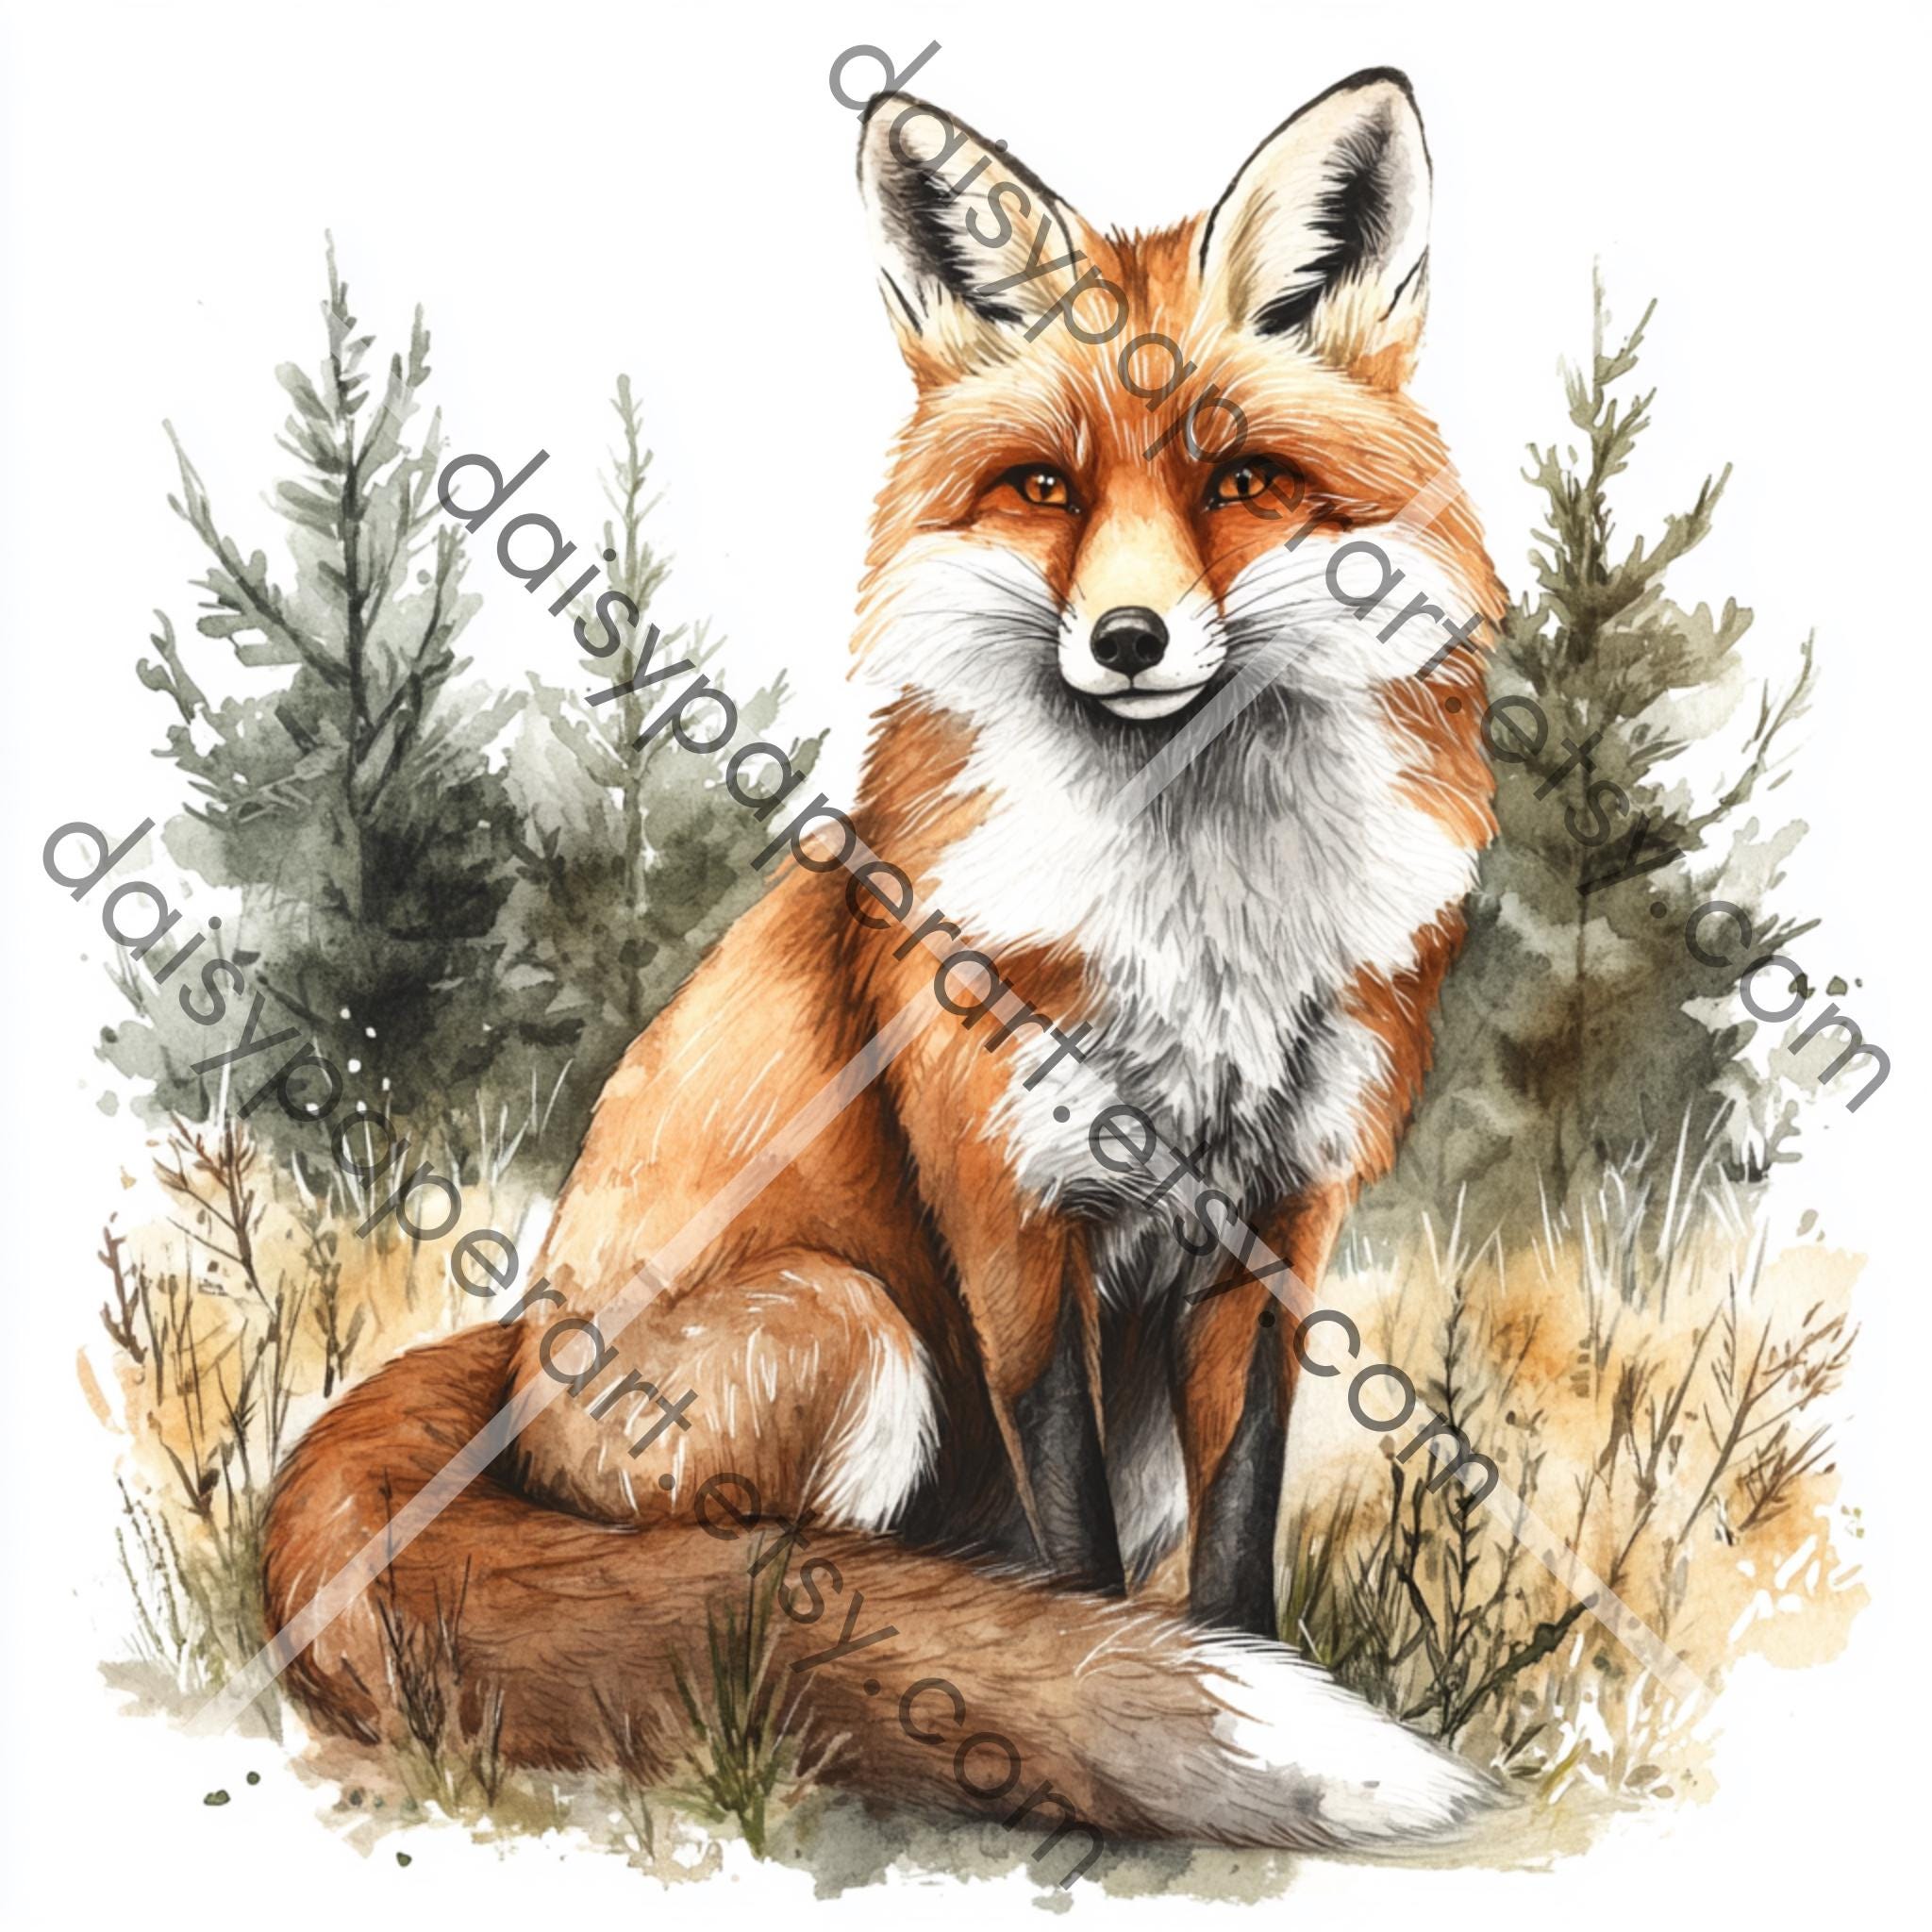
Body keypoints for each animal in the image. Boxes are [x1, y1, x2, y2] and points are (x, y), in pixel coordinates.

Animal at [262, 68, 1505, 1854]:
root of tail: (509, 1369)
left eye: (1242, 483)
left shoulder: (1279, 1212)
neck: (1193, 911)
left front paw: (1208, 1675)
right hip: (851, 1319)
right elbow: (1073, 1545)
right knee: (773, 1585)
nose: (1128, 640)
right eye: (1045, 489)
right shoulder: (1003, 1198)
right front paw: (1075, 1698)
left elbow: (1237, 1527)